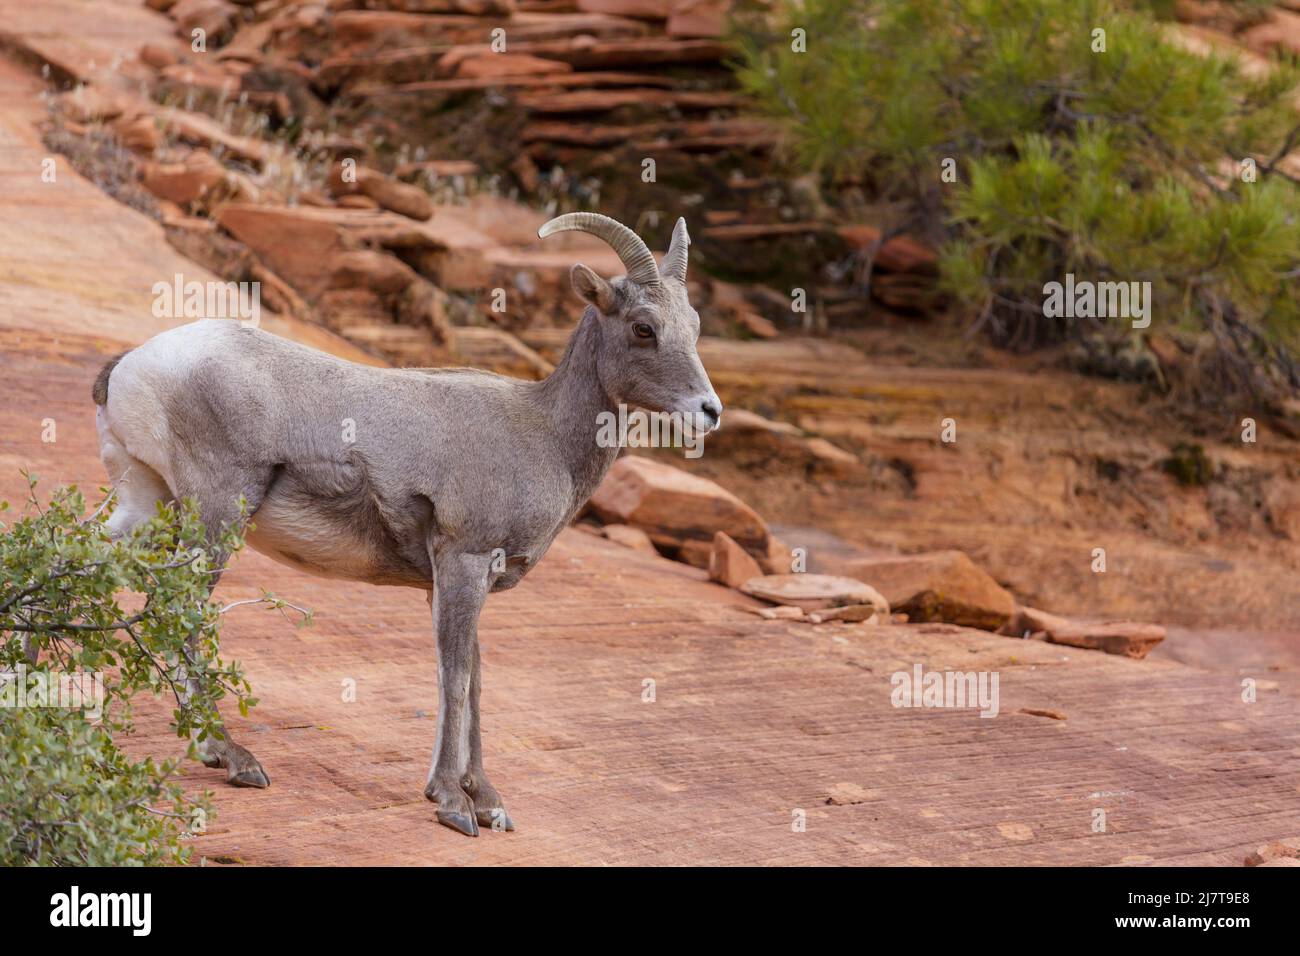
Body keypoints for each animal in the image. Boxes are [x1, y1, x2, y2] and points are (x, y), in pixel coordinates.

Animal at [92, 214, 722, 836]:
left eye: (692, 326)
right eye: (643, 328)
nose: (709, 411)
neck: (543, 434)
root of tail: (133, 365)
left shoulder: (454, 582)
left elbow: (475, 679)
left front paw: (488, 802)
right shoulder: (463, 561)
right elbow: (455, 675)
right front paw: (452, 804)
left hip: (145, 506)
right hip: (217, 511)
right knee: (178, 608)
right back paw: (232, 758)